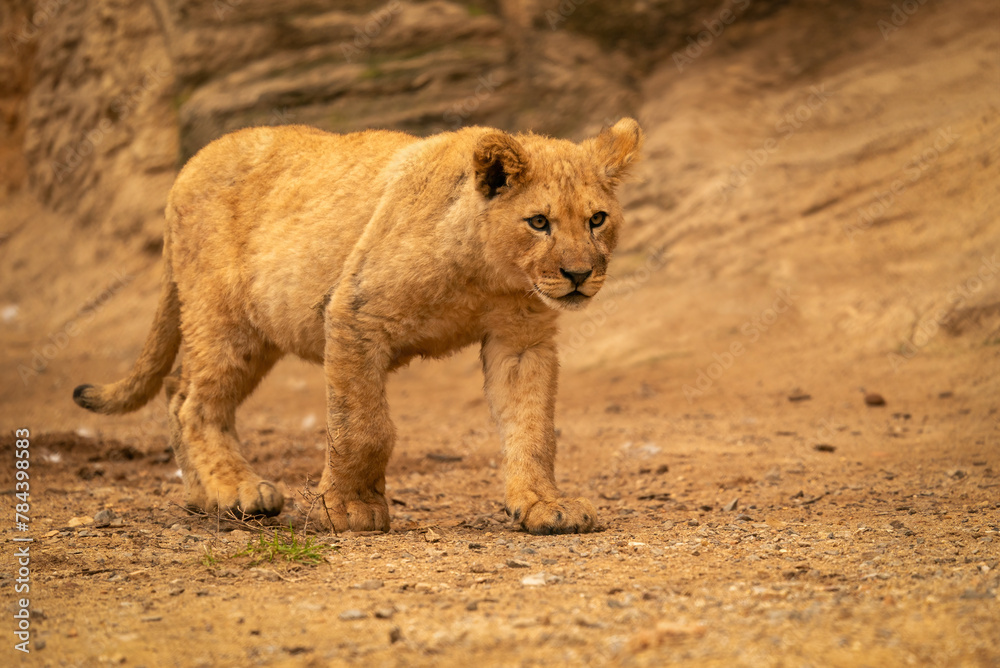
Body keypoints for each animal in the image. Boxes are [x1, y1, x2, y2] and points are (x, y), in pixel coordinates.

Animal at [73, 118, 643, 535]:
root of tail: (188, 168)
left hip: (255, 335)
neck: (489, 277)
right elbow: (364, 428)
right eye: (539, 222)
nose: (578, 275)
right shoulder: (354, 314)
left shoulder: (522, 340)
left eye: (596, 219)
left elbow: (532, 427)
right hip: (225, 318)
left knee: (175, 388)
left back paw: (203, 496)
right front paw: (348, 510)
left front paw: (545, 505)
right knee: (193, 402)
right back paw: (238, 490)